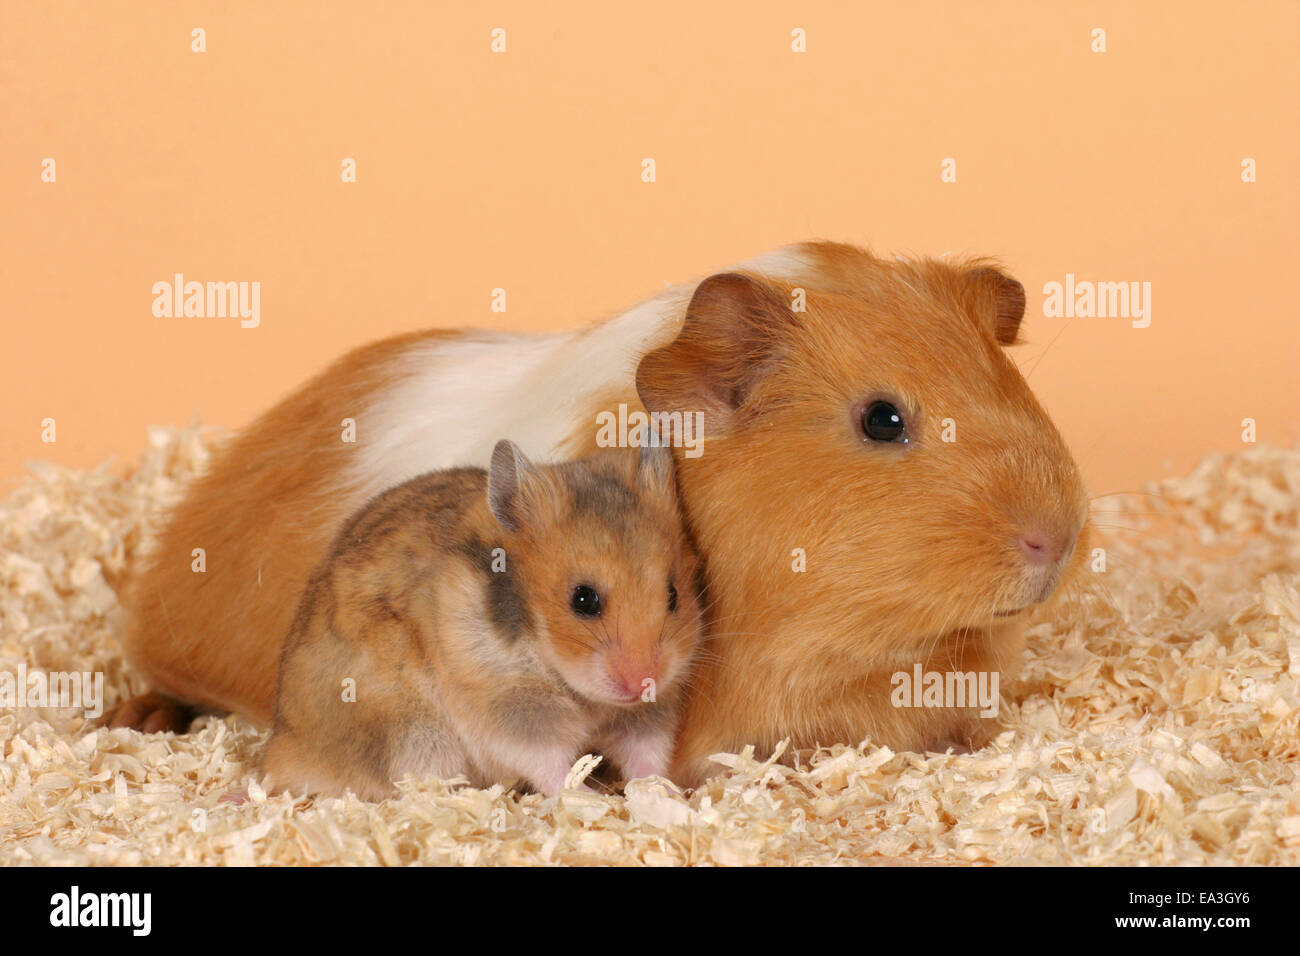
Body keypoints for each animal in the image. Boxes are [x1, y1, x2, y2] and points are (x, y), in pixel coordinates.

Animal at [260, 439, 703, 800]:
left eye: (673, 595)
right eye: (583, 599)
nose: (643, 683)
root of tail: (276, 753)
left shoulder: (647, 715)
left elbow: (646, 757)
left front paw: (669, 795)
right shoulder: (510, 709)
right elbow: (552, 766)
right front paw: (592, 800)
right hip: (416, 738)